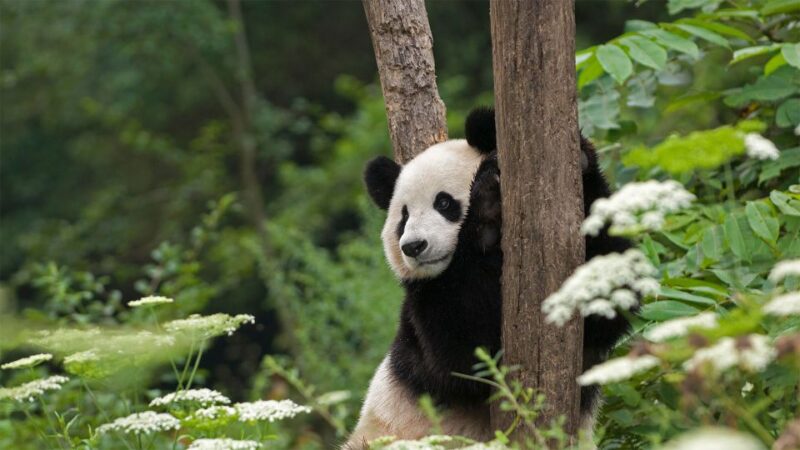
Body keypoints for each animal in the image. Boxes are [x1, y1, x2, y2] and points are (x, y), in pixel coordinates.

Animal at [345, 108, 632, 448]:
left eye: (444, 203)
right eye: (403, 218)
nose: (413, 246)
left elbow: (609, 301)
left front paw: (581, 158)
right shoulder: (421, 316)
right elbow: (465, 358)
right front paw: (487, 207)